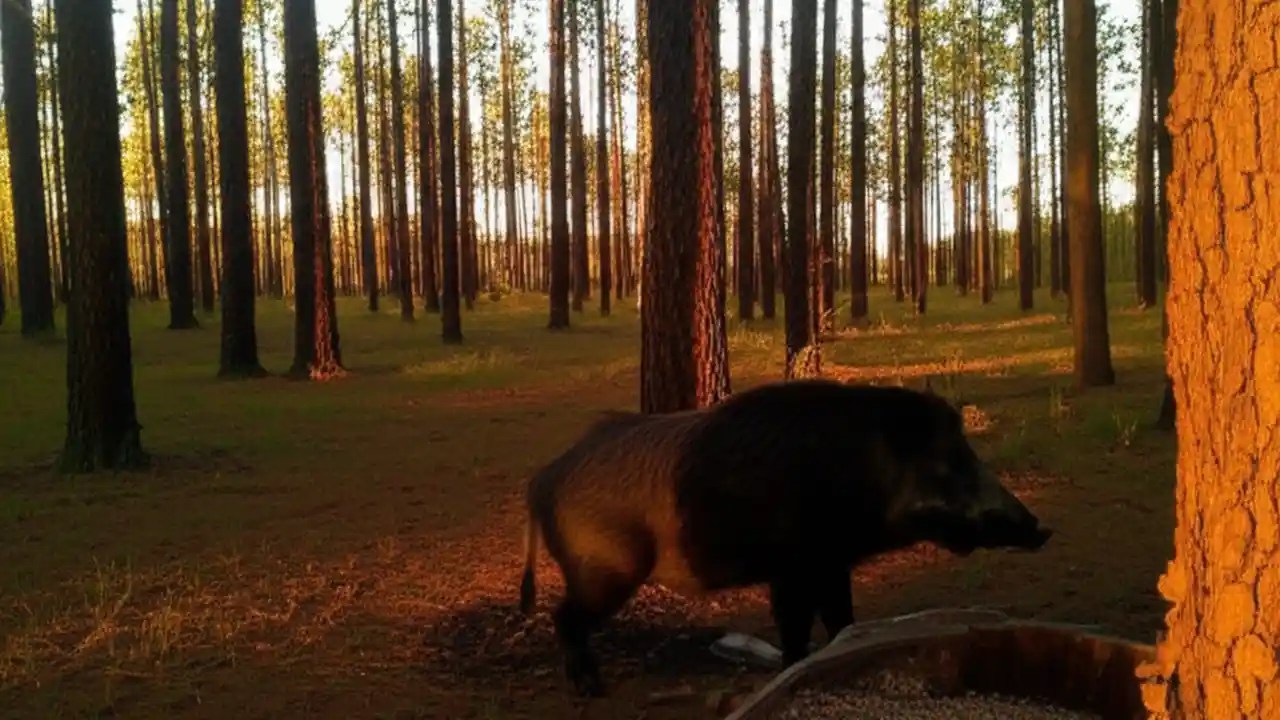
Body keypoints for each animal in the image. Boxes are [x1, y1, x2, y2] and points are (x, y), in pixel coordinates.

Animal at [517, 379, 1052, 697]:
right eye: (953, 463)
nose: (1041, 528)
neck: (861, 473)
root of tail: (543, 479)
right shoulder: (796, 566)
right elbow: (796, 625)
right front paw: (793, 666)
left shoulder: (830, 563)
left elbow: (839, 619)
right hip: (605, 568)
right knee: (564, 616)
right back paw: (590, 688)